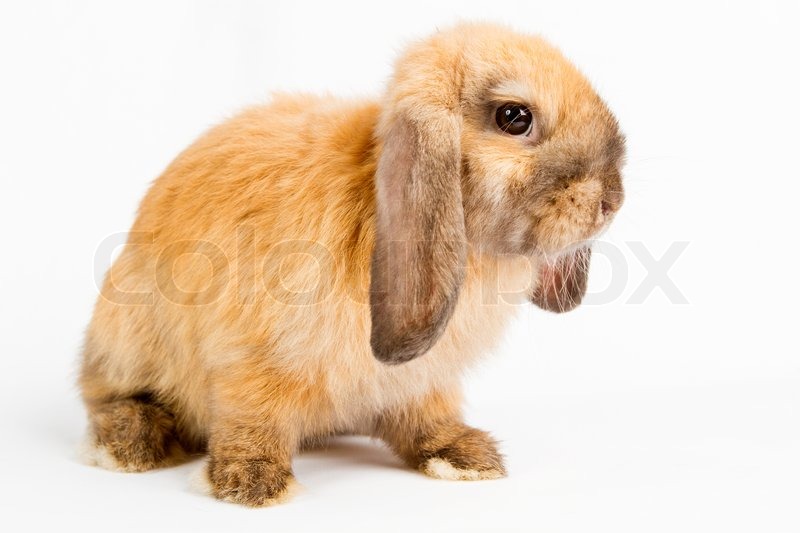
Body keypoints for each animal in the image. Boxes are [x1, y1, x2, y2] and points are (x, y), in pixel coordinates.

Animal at [79, 22, 625, 506]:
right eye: (514, 117)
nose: (612, 201)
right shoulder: (253, 359)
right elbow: (250, 417)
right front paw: (252, 485)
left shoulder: (422, 380)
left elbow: (426, 419)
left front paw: (465, 457)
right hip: (129, 340)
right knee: (107, 394)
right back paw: (132, 443)